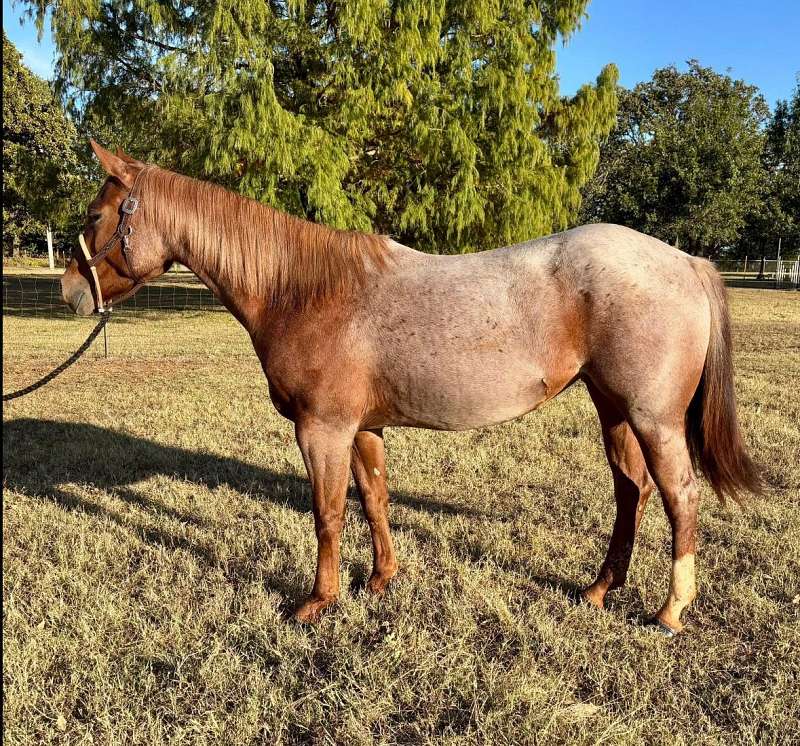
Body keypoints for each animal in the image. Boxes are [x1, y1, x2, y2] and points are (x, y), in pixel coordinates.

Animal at [60, 140, 762, 634]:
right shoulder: (362, 427)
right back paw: (597, 590)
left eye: (95, 215)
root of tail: (685, 261)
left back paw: (669, 612)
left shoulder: (321, 430)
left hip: (653, 418)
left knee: (678, 498)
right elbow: (374, 500)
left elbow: (327, 513)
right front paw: (379, 582)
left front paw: (316, 603)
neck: (302, 289)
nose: (72, 293)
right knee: (630, 492)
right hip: (611, 406)